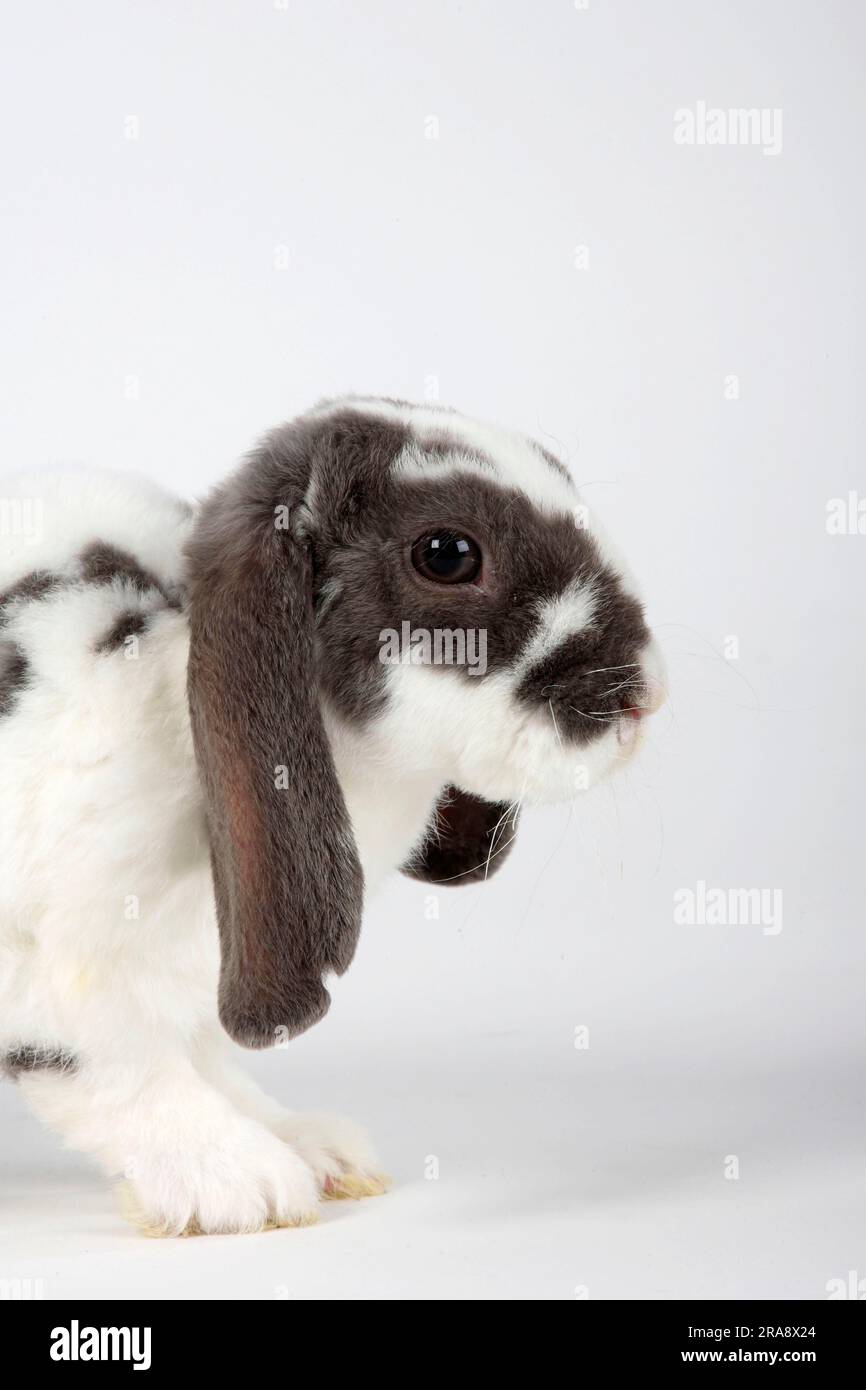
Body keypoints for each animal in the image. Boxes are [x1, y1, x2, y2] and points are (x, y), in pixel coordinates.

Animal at [0, 396, 665, 1235]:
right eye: (447, 554)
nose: (646, 697)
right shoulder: (54, 970)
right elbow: (118, 1070)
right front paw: (232, 1181)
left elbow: (204, 1055)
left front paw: (310, 1151)